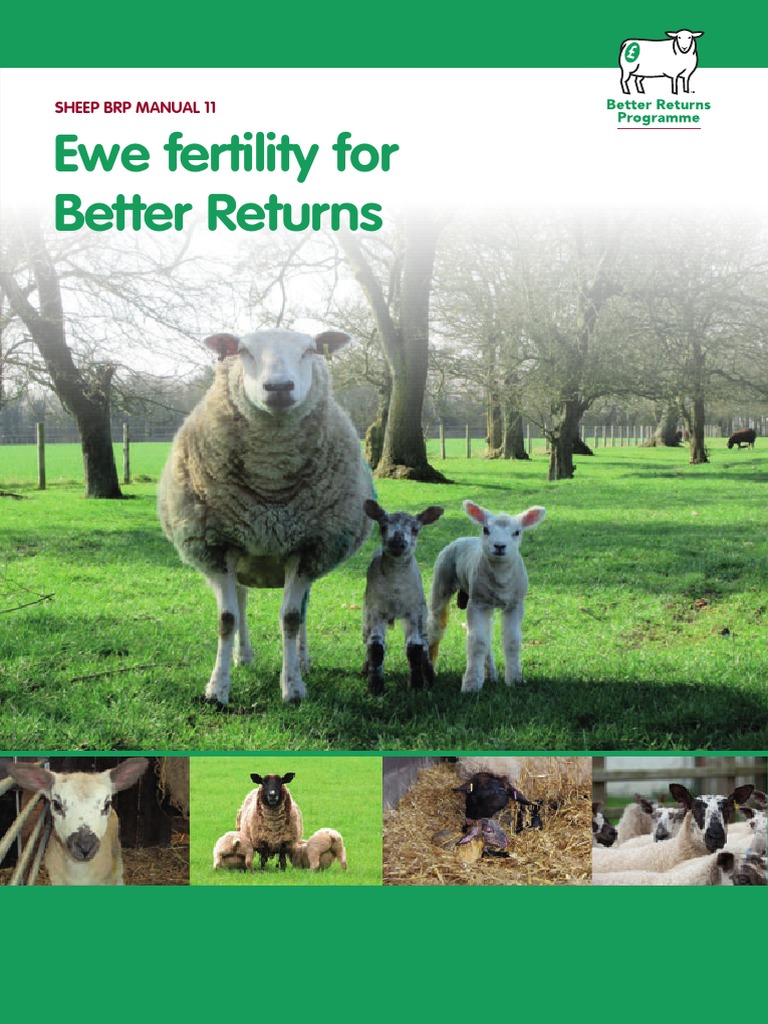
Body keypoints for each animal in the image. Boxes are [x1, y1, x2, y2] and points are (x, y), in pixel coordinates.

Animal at [158, 328, 374, 706]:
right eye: (243, 351)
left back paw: (303, 660)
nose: (279, 387)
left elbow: (290, 618)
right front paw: (217, 689)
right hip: (240, 557)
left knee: (302, 609)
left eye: (310, 350)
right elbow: (226, 619)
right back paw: (243, 657)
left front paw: (293, 687)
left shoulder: (308, 548)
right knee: (241, 602)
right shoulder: (217, 548)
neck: (270, 479)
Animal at [361, 499, 444, 694]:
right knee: (366, 638)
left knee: (424, 643)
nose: (397, 543)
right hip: (366, 611)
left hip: (423, 613)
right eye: (383, 527)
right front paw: (375, 686)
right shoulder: (376, 610)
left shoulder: (414, 611)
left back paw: (429, 673)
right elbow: (375, 647)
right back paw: (365, 668)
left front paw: (417, 685)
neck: (396, 589)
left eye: (415, 529)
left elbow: (414, 648)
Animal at [427, 500, 546, 691]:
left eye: (517, 532)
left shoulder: (515, 604)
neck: (501, 580)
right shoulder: (478, 603)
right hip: (442, 579)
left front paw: (515, 680)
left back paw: (490, 674)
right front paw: (471, 684)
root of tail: (464, 538)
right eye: (485, 529)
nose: (499, 546)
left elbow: (512, 641)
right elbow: (476, 641)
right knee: (436, 626)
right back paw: (430, 667)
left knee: (487, 636)